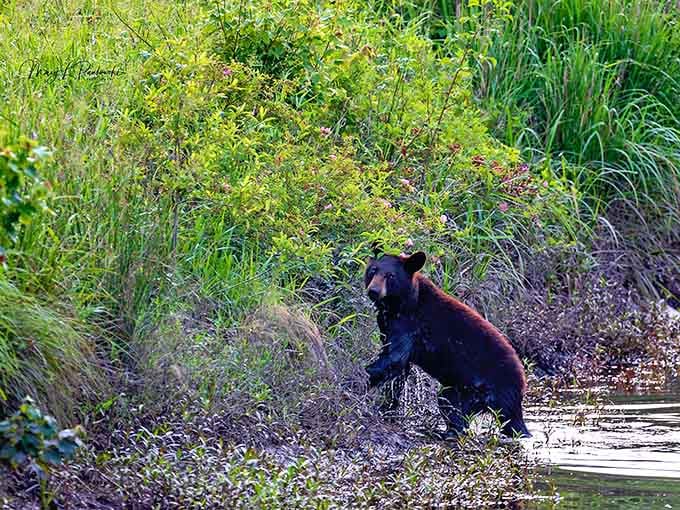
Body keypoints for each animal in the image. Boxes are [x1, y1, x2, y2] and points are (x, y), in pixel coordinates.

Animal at [364, 249, 530, 438]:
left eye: (390, 276)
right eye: (373, 271)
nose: (374, 291)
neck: (398, 304)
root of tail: (519, 392)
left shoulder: (409, 325)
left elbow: (394, 358)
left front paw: (362, 380)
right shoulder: (388, 325)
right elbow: (397, 373)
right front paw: (387, 408)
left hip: (481, 389)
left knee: (453, 408)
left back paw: (446, 432)